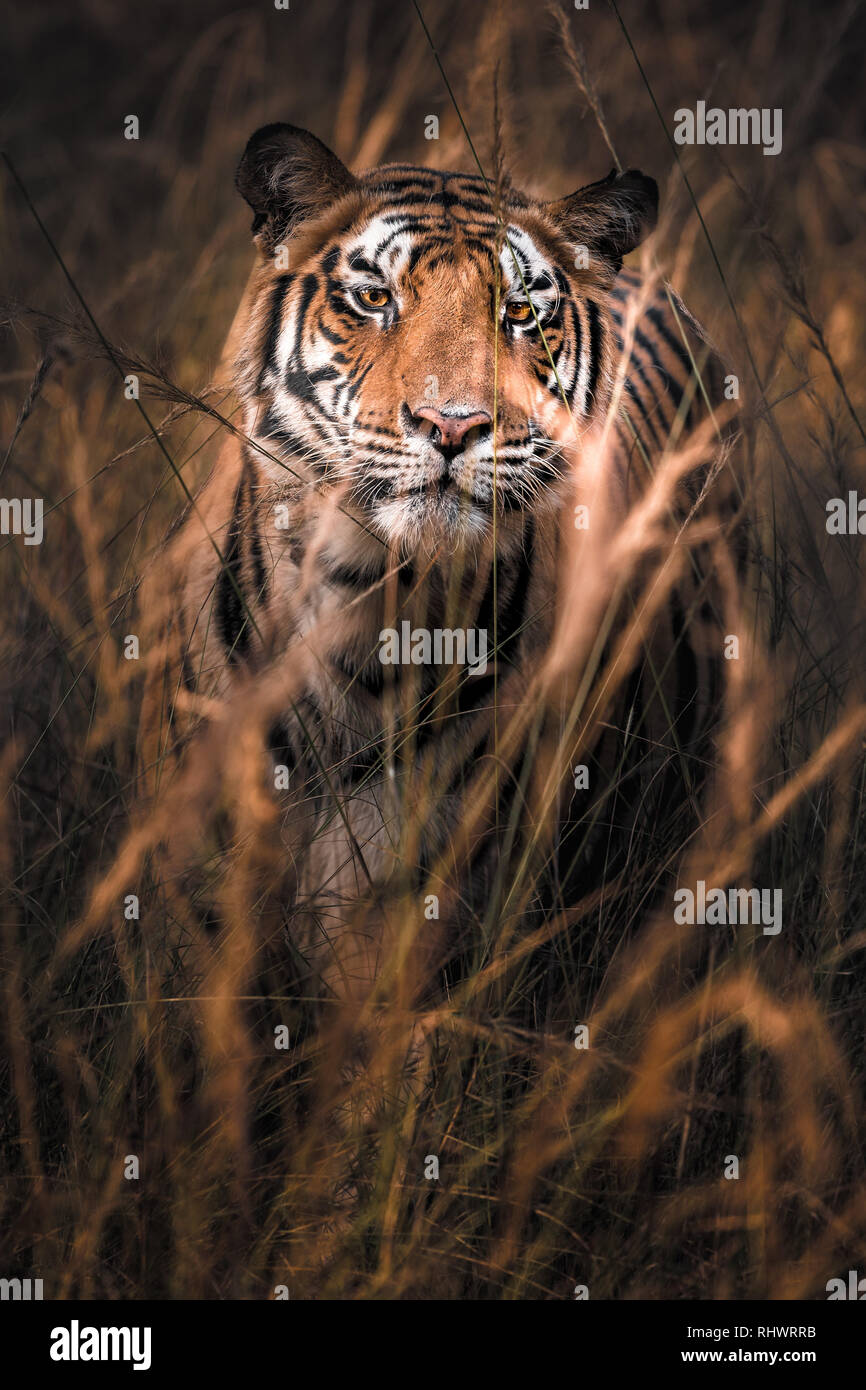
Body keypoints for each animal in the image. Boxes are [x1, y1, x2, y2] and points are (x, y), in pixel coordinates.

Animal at [137, 121, 741, 1015]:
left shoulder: (413, 929)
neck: (366, 607)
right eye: (374, 299)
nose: (452, 425)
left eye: (519, 313)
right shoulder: (203, 916)